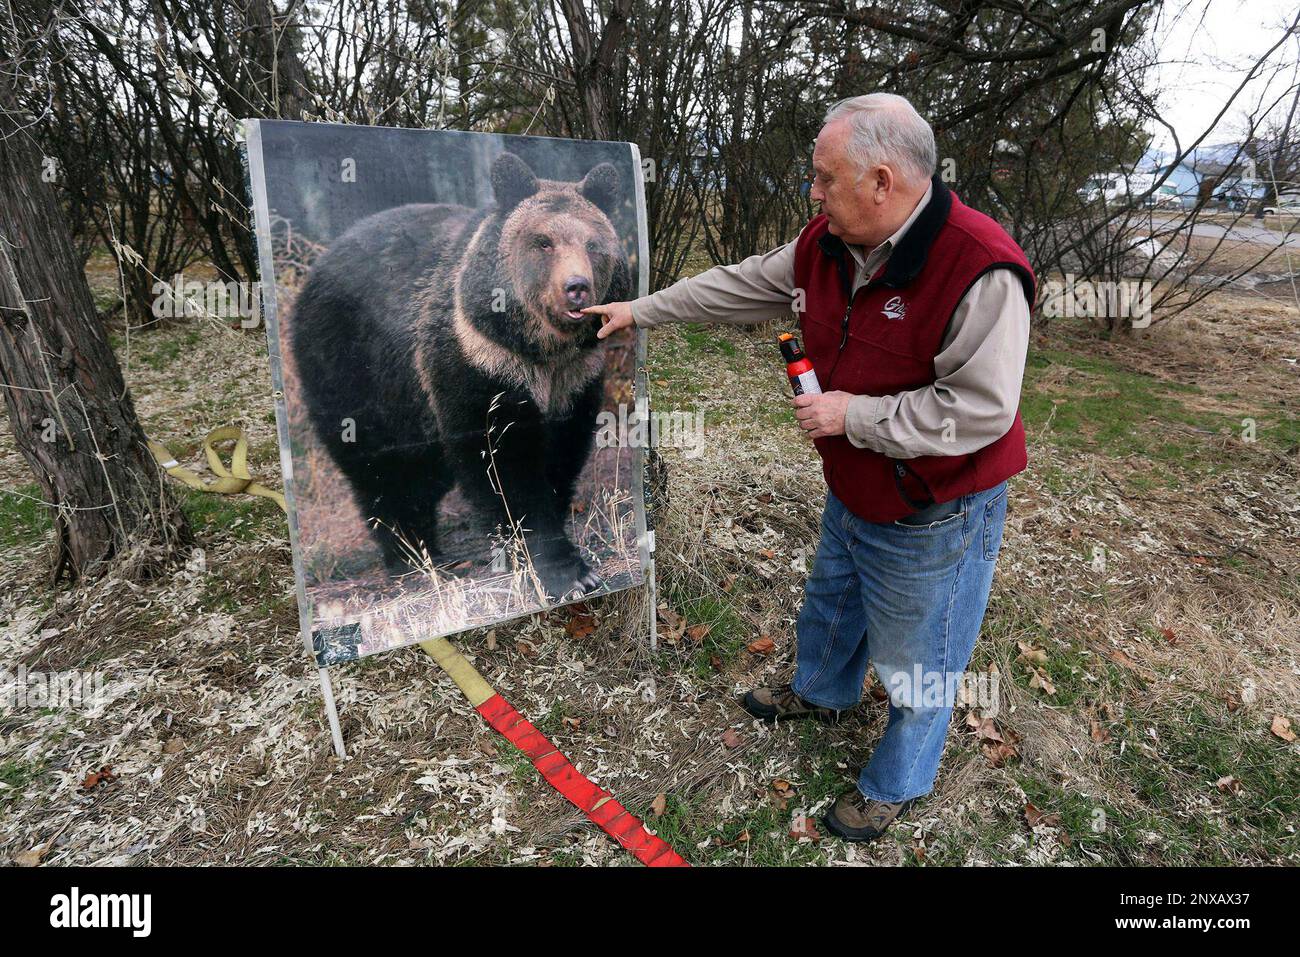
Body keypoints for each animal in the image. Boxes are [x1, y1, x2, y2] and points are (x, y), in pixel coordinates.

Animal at [289, 151, 630, 602]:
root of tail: (317, 264)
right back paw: (410, 555)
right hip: (352, 369)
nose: (577, 287)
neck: (541, 352)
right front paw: (563, 570)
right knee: (381, 469)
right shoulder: (479, 361)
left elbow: (562, 453)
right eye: (543, 242)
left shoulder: (575, 376)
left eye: (593, 244)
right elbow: (504, 463)